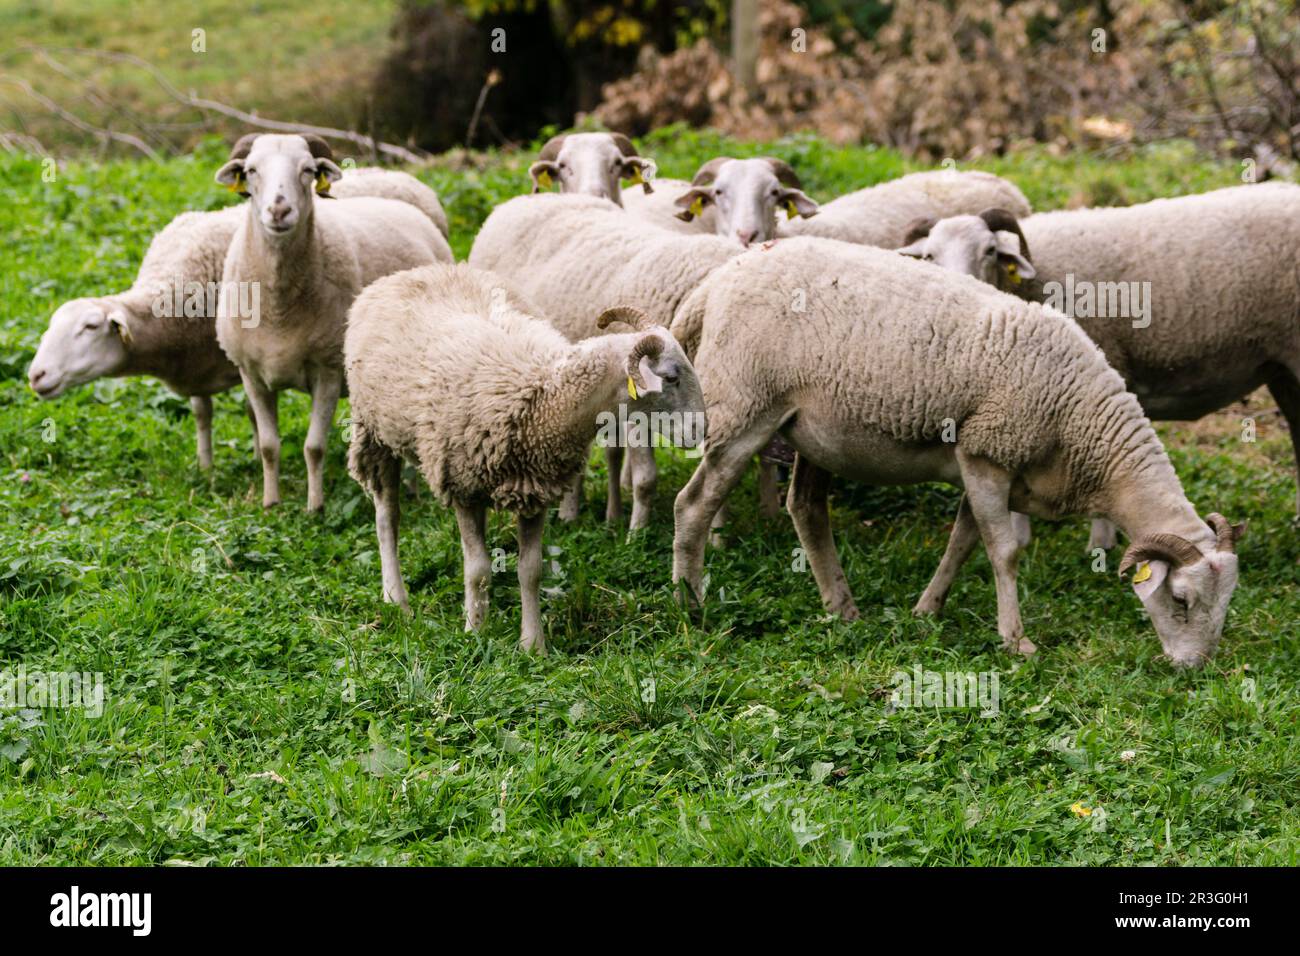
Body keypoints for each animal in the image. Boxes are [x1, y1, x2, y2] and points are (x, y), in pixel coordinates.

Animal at [27, 166, 455, 470]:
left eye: (89, 327)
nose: (36, 376)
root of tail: (407, 177)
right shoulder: (205, 360)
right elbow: (205, 412)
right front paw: (207, 468)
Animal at [214, 133, 452, 511]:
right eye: (251, 170)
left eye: (308, 171)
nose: (279, 211)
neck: (278, 309)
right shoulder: (251, 375)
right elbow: (268, 446)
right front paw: (271, 502)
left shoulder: (327, 370)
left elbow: (314, 447)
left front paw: (315, 507)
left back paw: (412, 490)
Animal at [345, 262, 705, 653]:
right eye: (671, 377)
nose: (701, 429)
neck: (547, 397)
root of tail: (411, 272)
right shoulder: (462, 486)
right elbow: (477, 570)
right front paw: (474, 632)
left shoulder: (535, 488)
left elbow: (529, 571)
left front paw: (533, 644)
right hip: (374, 433)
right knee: (387, 519)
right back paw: (396, 598)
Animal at [672, 237, 1245, 667]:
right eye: (1180, 600)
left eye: (1226, 605)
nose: (1194, 667)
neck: (1084, 427)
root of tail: (713, 284)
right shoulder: (988, 453)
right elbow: (1004, 552)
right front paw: (1017, 641)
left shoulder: (989, 466)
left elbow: (964, 542)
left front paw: (928, 610)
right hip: (745, 406)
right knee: (693, 504)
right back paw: (690, 604)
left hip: (812, 429)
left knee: (806, 509)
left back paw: (842, 608)